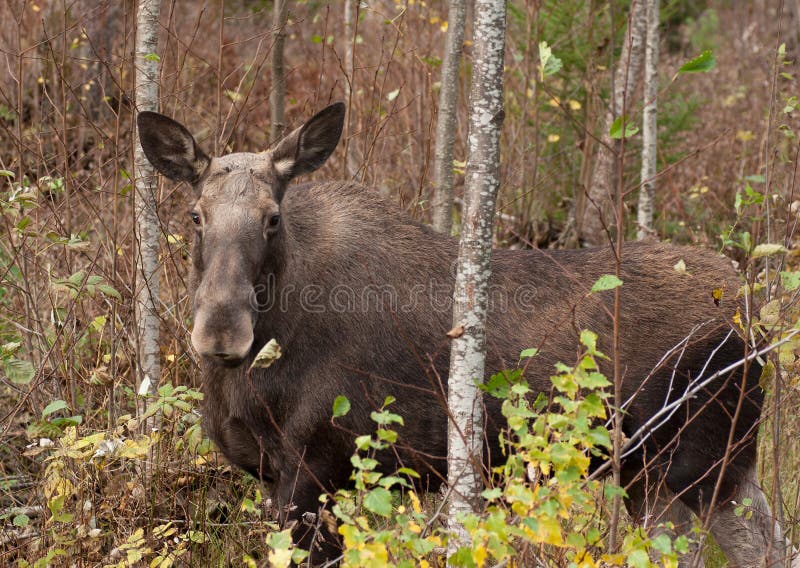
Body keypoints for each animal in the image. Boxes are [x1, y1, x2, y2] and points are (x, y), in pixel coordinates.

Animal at [137, 102, 792, 567]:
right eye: (195, 216)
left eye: (272, 217)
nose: (221, 333)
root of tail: (753, 314)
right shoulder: (280, 477)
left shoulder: (315, 468)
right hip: (664, 474)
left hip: (701, 465)